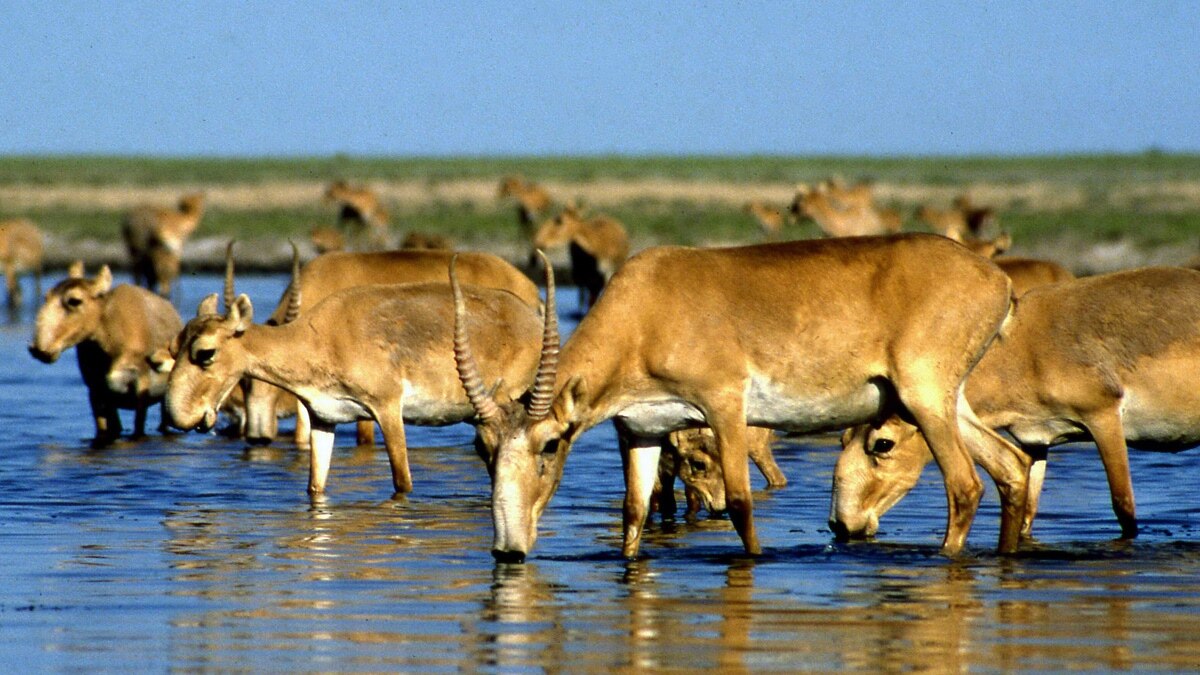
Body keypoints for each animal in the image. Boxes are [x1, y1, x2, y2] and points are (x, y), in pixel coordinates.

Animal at [28, 262, 183, 447]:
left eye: (74, 300)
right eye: (47, 296)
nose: (39, 349)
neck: (111, 346)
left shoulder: (141, 385)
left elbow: (138, 428)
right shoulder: (96, 390)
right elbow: (103, 430)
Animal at [456, 233, 1024, 562]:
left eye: (551, 444)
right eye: (486, 449)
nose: (507, 550)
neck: (646, 307)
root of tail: (997, 279)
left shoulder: (724, 407)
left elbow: (740, 503)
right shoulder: (640, 430)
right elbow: (634, 510)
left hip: (923, 398)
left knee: (965, 484)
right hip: (948, 403)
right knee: (1011, 468)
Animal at [832, 267, 1200, 541]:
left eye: (883, 443)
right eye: (842, 438)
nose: (839, 523)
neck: (1023, 349)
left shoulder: (1103, 419)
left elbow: (1124, 507)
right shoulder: (1035, 441)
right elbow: (1027, 515)